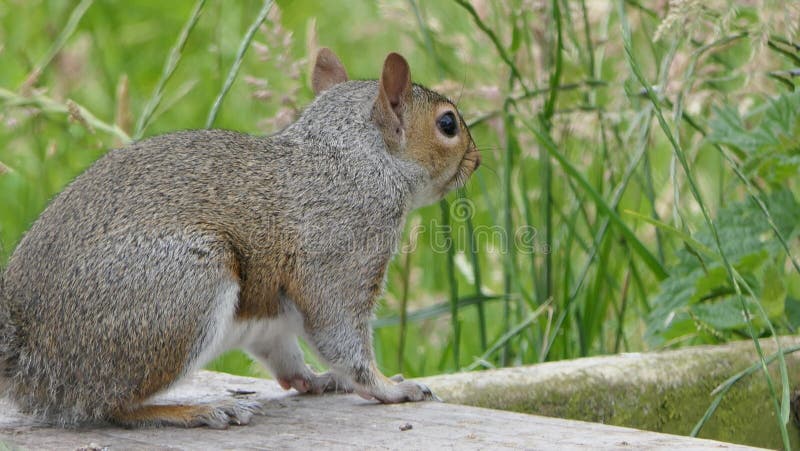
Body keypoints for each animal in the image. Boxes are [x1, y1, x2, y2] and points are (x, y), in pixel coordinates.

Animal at [0, 48, 480, 429]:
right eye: (448, 124)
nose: (476, 160)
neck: (353, 162)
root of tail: (30, 349)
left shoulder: (273, 317)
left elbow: (282, 352)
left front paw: (317, 380)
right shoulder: (341, 257)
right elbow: (339, 333)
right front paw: (390, 388)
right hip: (181, 289)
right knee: (108, 405)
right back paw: (196, 411)